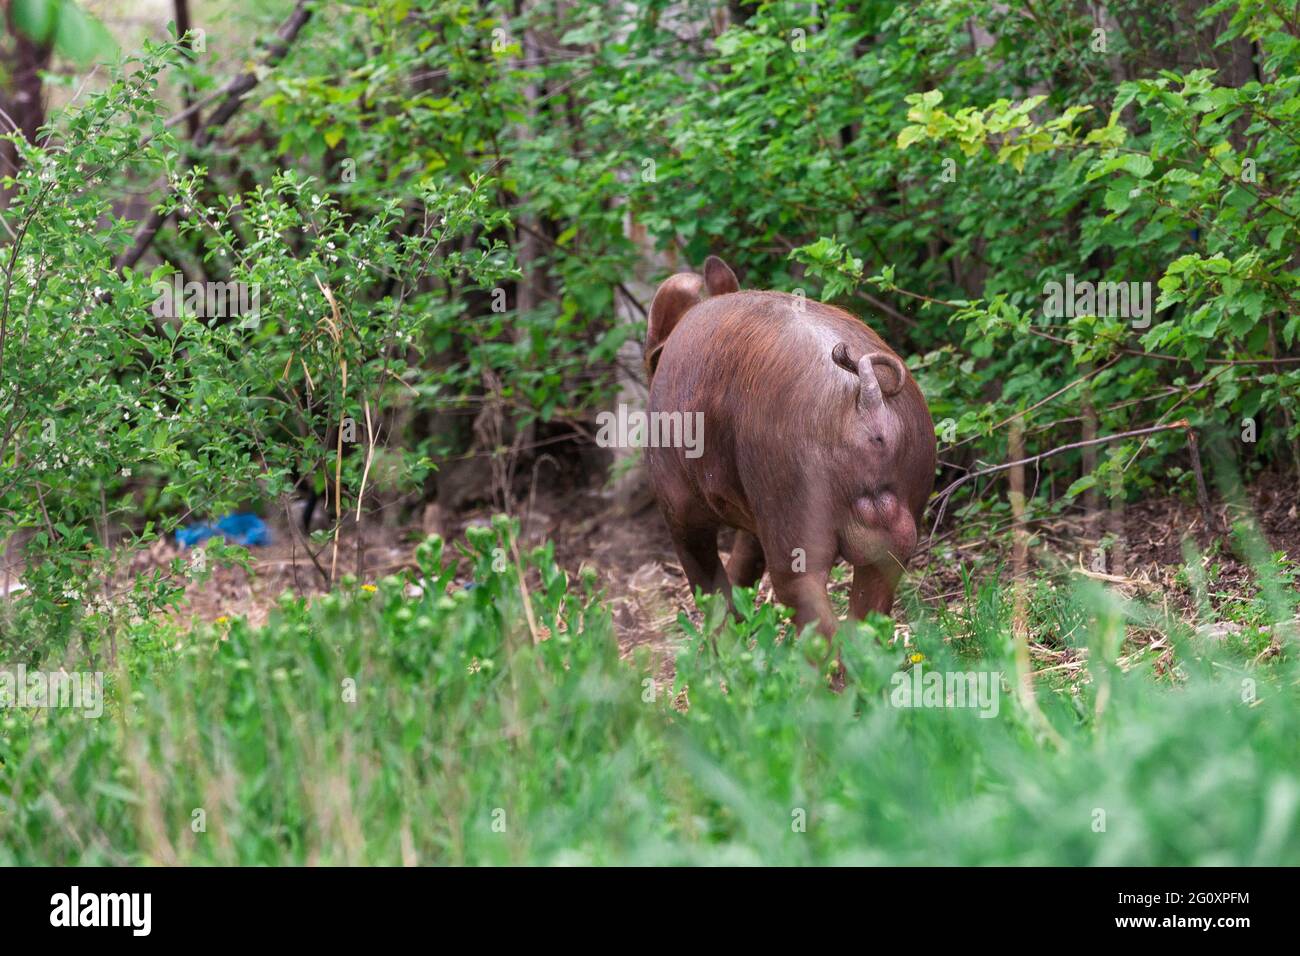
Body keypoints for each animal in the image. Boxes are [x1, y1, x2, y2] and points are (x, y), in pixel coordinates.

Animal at [644, 256, 936, 639]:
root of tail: (868, 395)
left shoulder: (679, 507)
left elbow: (709, 586)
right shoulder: (754, 511)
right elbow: (746, 559)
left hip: (794, 511)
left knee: (808, 606)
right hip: (903, 508)